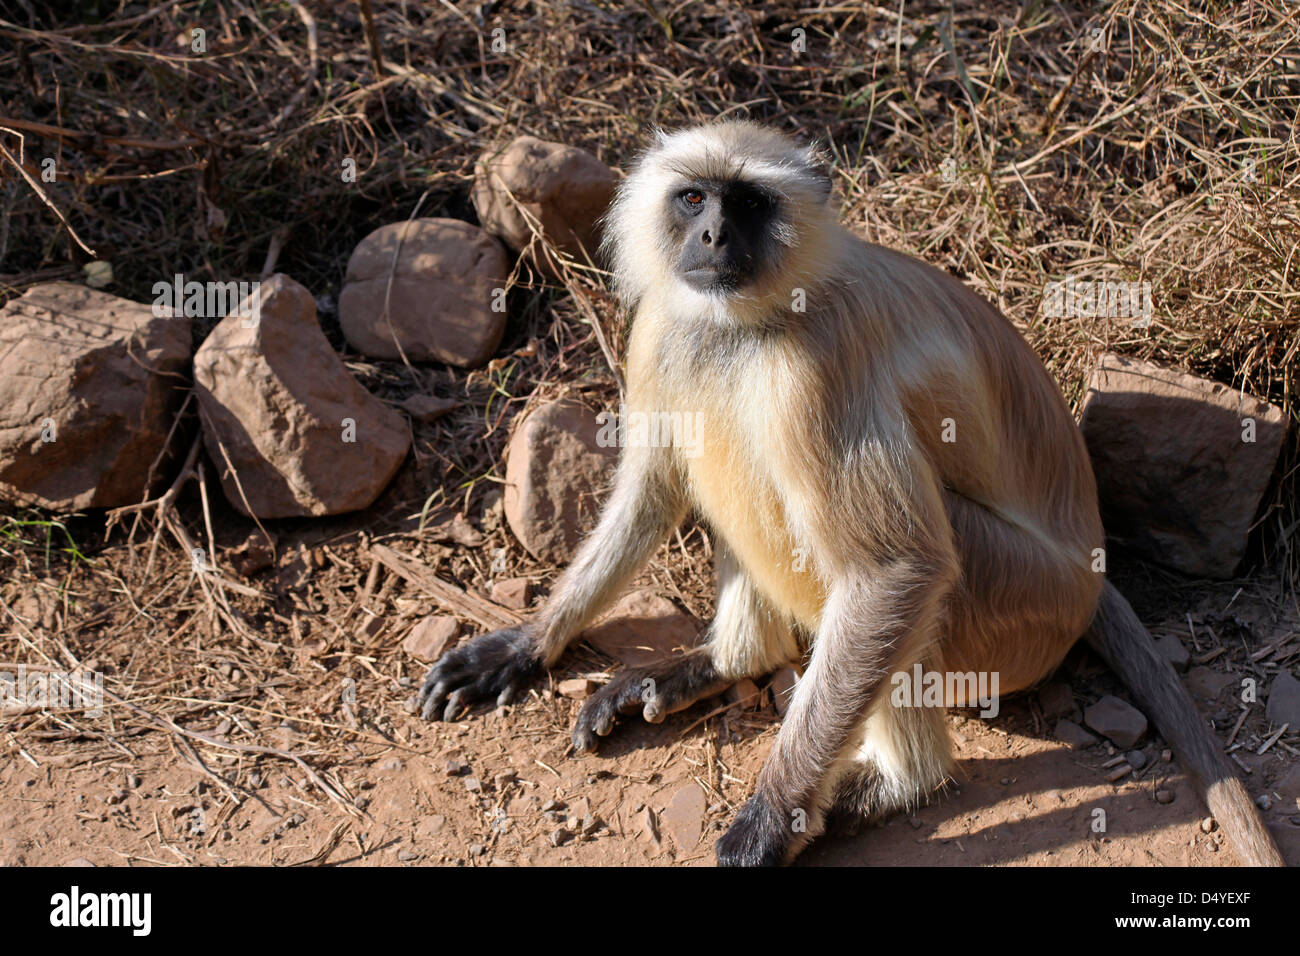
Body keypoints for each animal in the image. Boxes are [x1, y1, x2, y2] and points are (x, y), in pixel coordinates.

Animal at [416, 120, 1284, 867]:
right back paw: (725, 663)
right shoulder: (664, 324)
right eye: (694, 199)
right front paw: (525, 644)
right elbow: (651, 488)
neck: (751, 315)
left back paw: (895, 783)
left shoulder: (816, 368)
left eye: (750, 205)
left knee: (876, 544)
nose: (713, 237)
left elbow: (892, 572)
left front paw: (774, 820)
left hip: (1024, 605)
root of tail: (1090, 572)